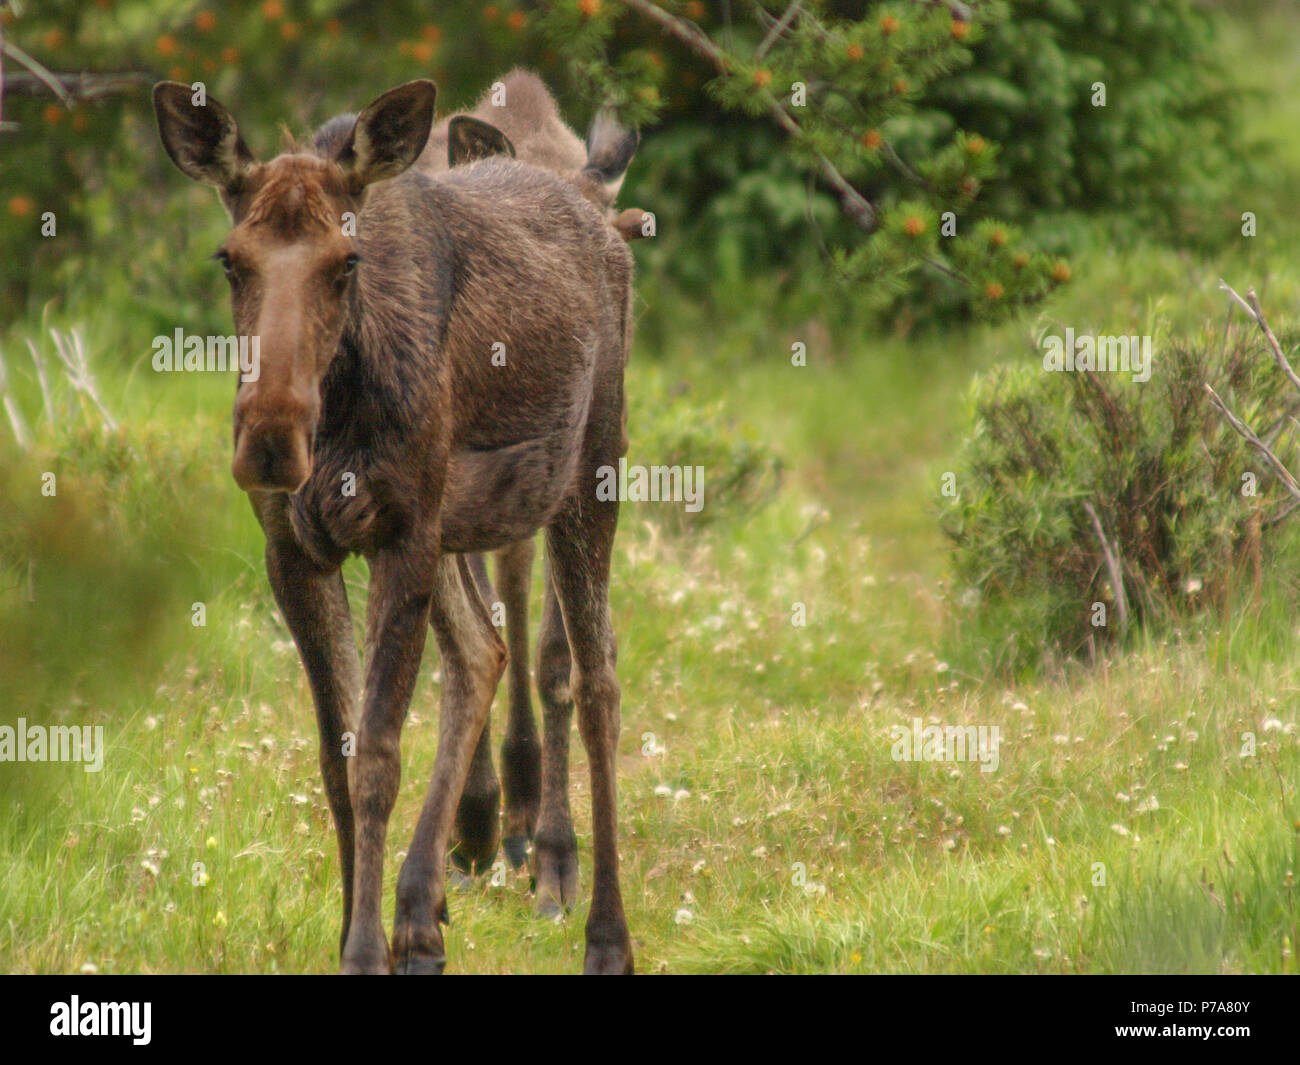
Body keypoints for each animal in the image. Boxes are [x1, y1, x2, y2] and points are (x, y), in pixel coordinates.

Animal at [153, 77, 637, 974]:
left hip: (589, 473)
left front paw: (364, 947)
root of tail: (602, 217)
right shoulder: (294, 551)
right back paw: (432, 901)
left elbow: (377, 754)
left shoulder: (402, 533)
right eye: (229, 259)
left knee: (595, 680)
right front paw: (369, 928)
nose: (270, 438)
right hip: (462, 520)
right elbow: (335, 755)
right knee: (484, 651)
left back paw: (601, 928)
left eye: (347, 261)